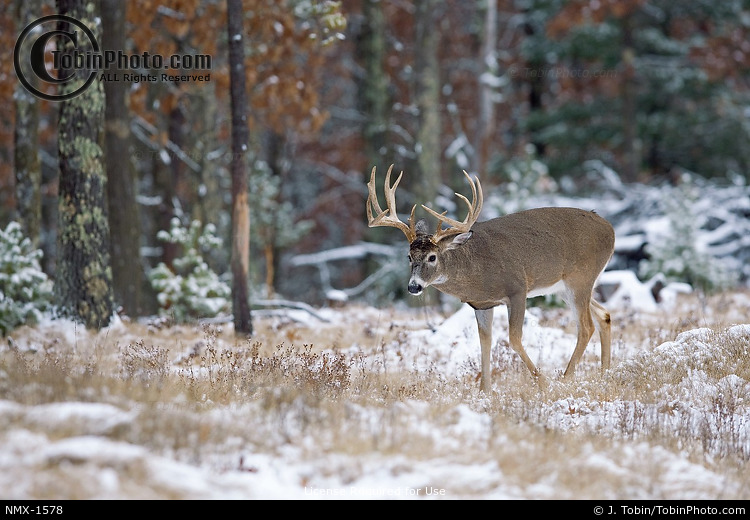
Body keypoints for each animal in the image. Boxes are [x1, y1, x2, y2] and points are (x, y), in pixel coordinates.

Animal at [366, 164, 615, 392]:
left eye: (432, 257)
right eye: (409, 256)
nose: (414, 287)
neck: (475, 272)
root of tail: (610, 229)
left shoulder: (517, 289)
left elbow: (514, 339)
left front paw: (543, 382)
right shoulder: (482, 304)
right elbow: (485, 342)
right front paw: (484, 390)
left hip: (580, 277)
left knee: (586, 327)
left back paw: (565, 379)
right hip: (566, 287)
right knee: (604, 315)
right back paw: (604, 374)